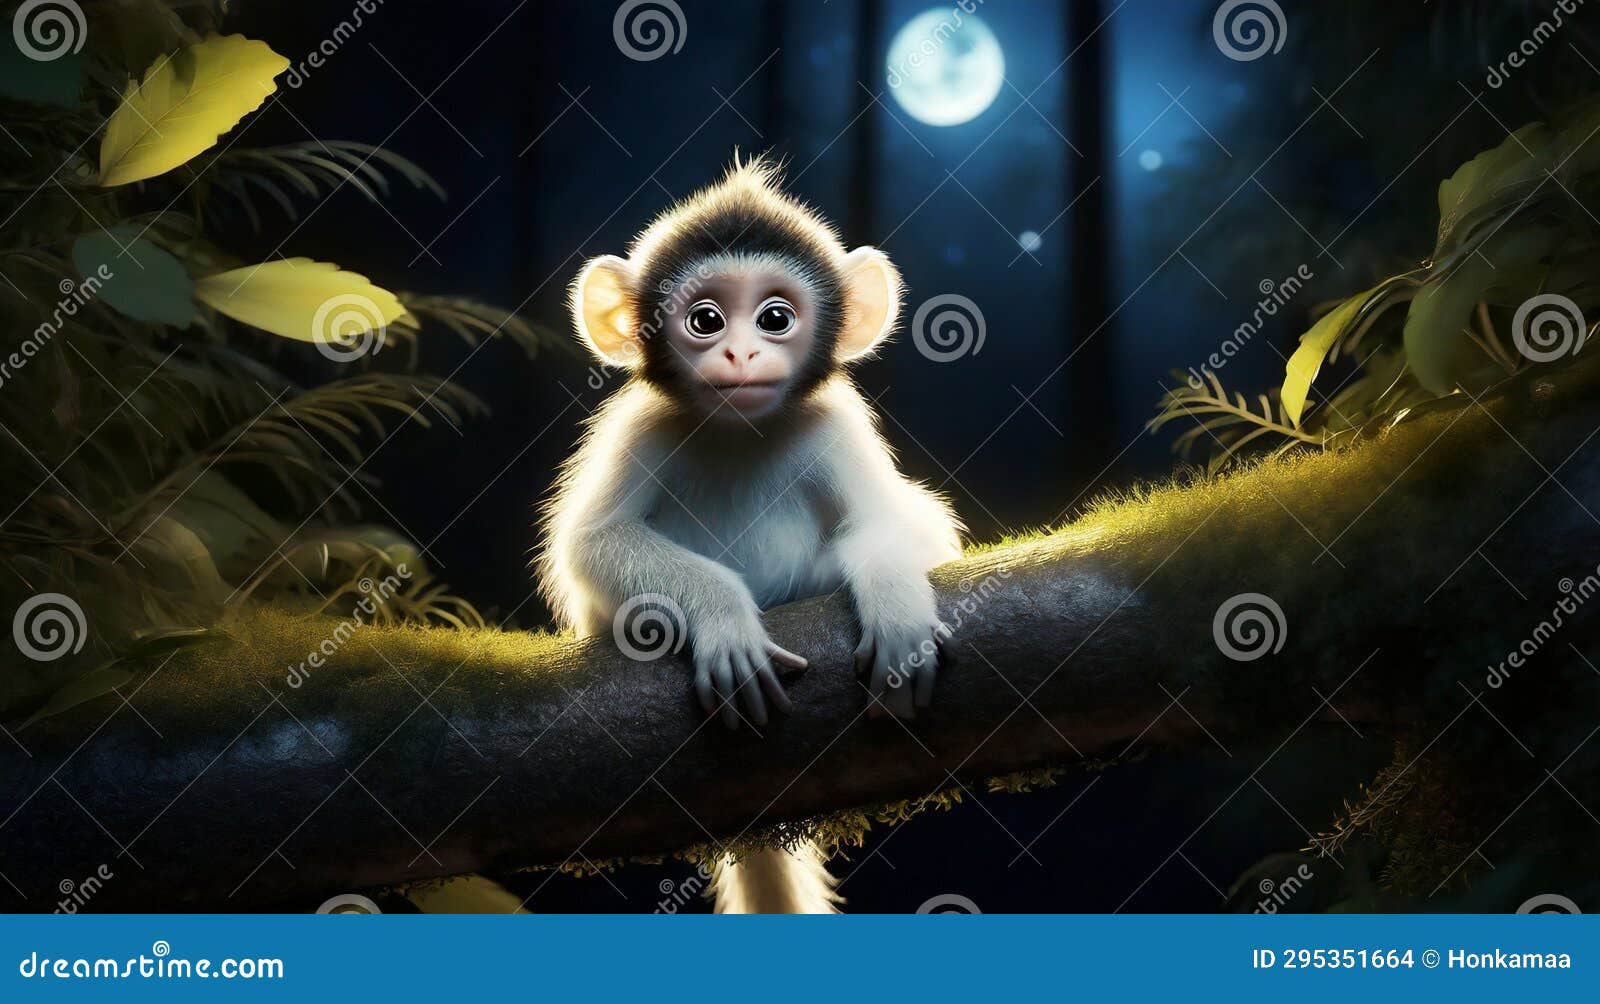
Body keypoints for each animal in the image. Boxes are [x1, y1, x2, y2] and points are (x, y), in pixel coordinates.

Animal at [536, 156, 963, 914]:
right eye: (704, 320)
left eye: (775, 318)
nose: (739, 351)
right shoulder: (643, 424)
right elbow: (593, 543)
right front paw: (726, 622)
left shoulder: (834, 422)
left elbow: (890, 525)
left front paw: (900, 621)